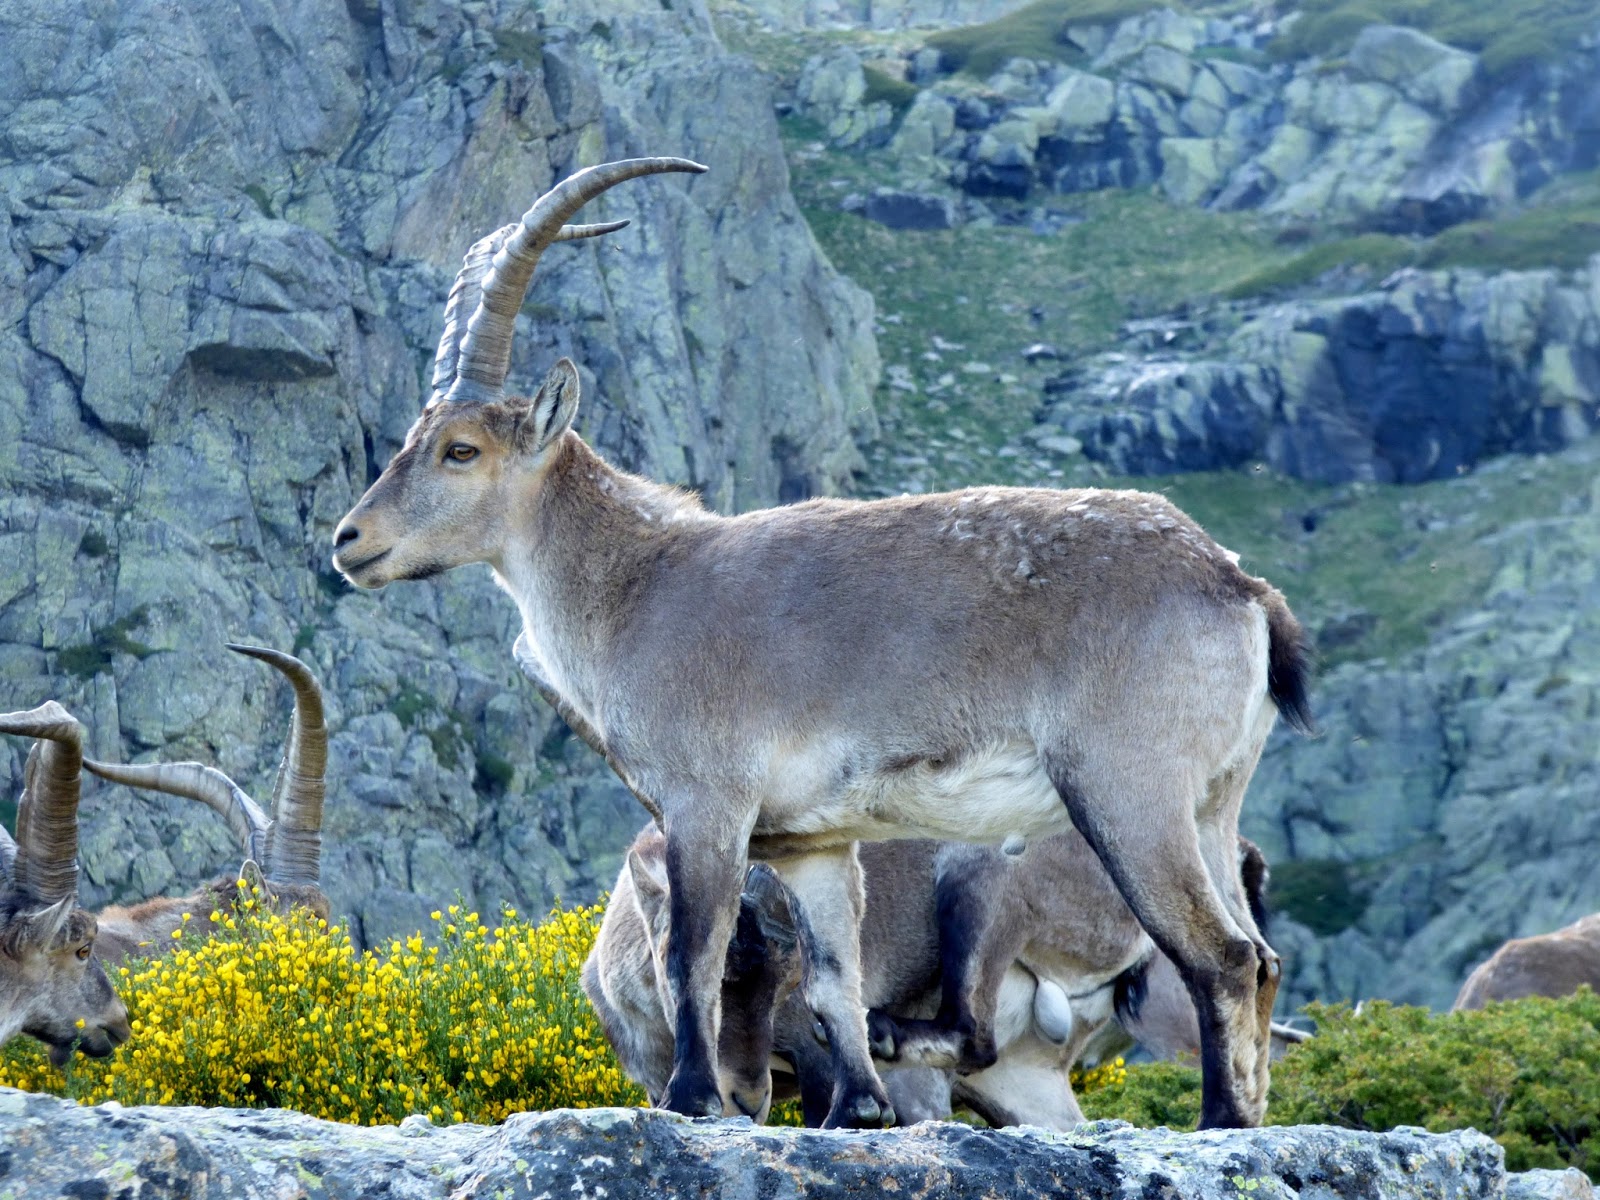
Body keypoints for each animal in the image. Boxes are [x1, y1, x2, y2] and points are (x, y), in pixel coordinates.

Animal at [332, 157, 1315, 1129]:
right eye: (413, 439)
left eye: (461, 450)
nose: (349, 539)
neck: (636, 590)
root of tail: (1238, 588)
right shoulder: (811, 844)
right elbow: (832, 982)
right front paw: (856, 1110)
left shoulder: (707, 802)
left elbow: (693, 952)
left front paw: (693, 1099)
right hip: (1212, 802)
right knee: (1262, 957)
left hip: (1127, 792)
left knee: (1221, 956)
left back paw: (1219, 1123)